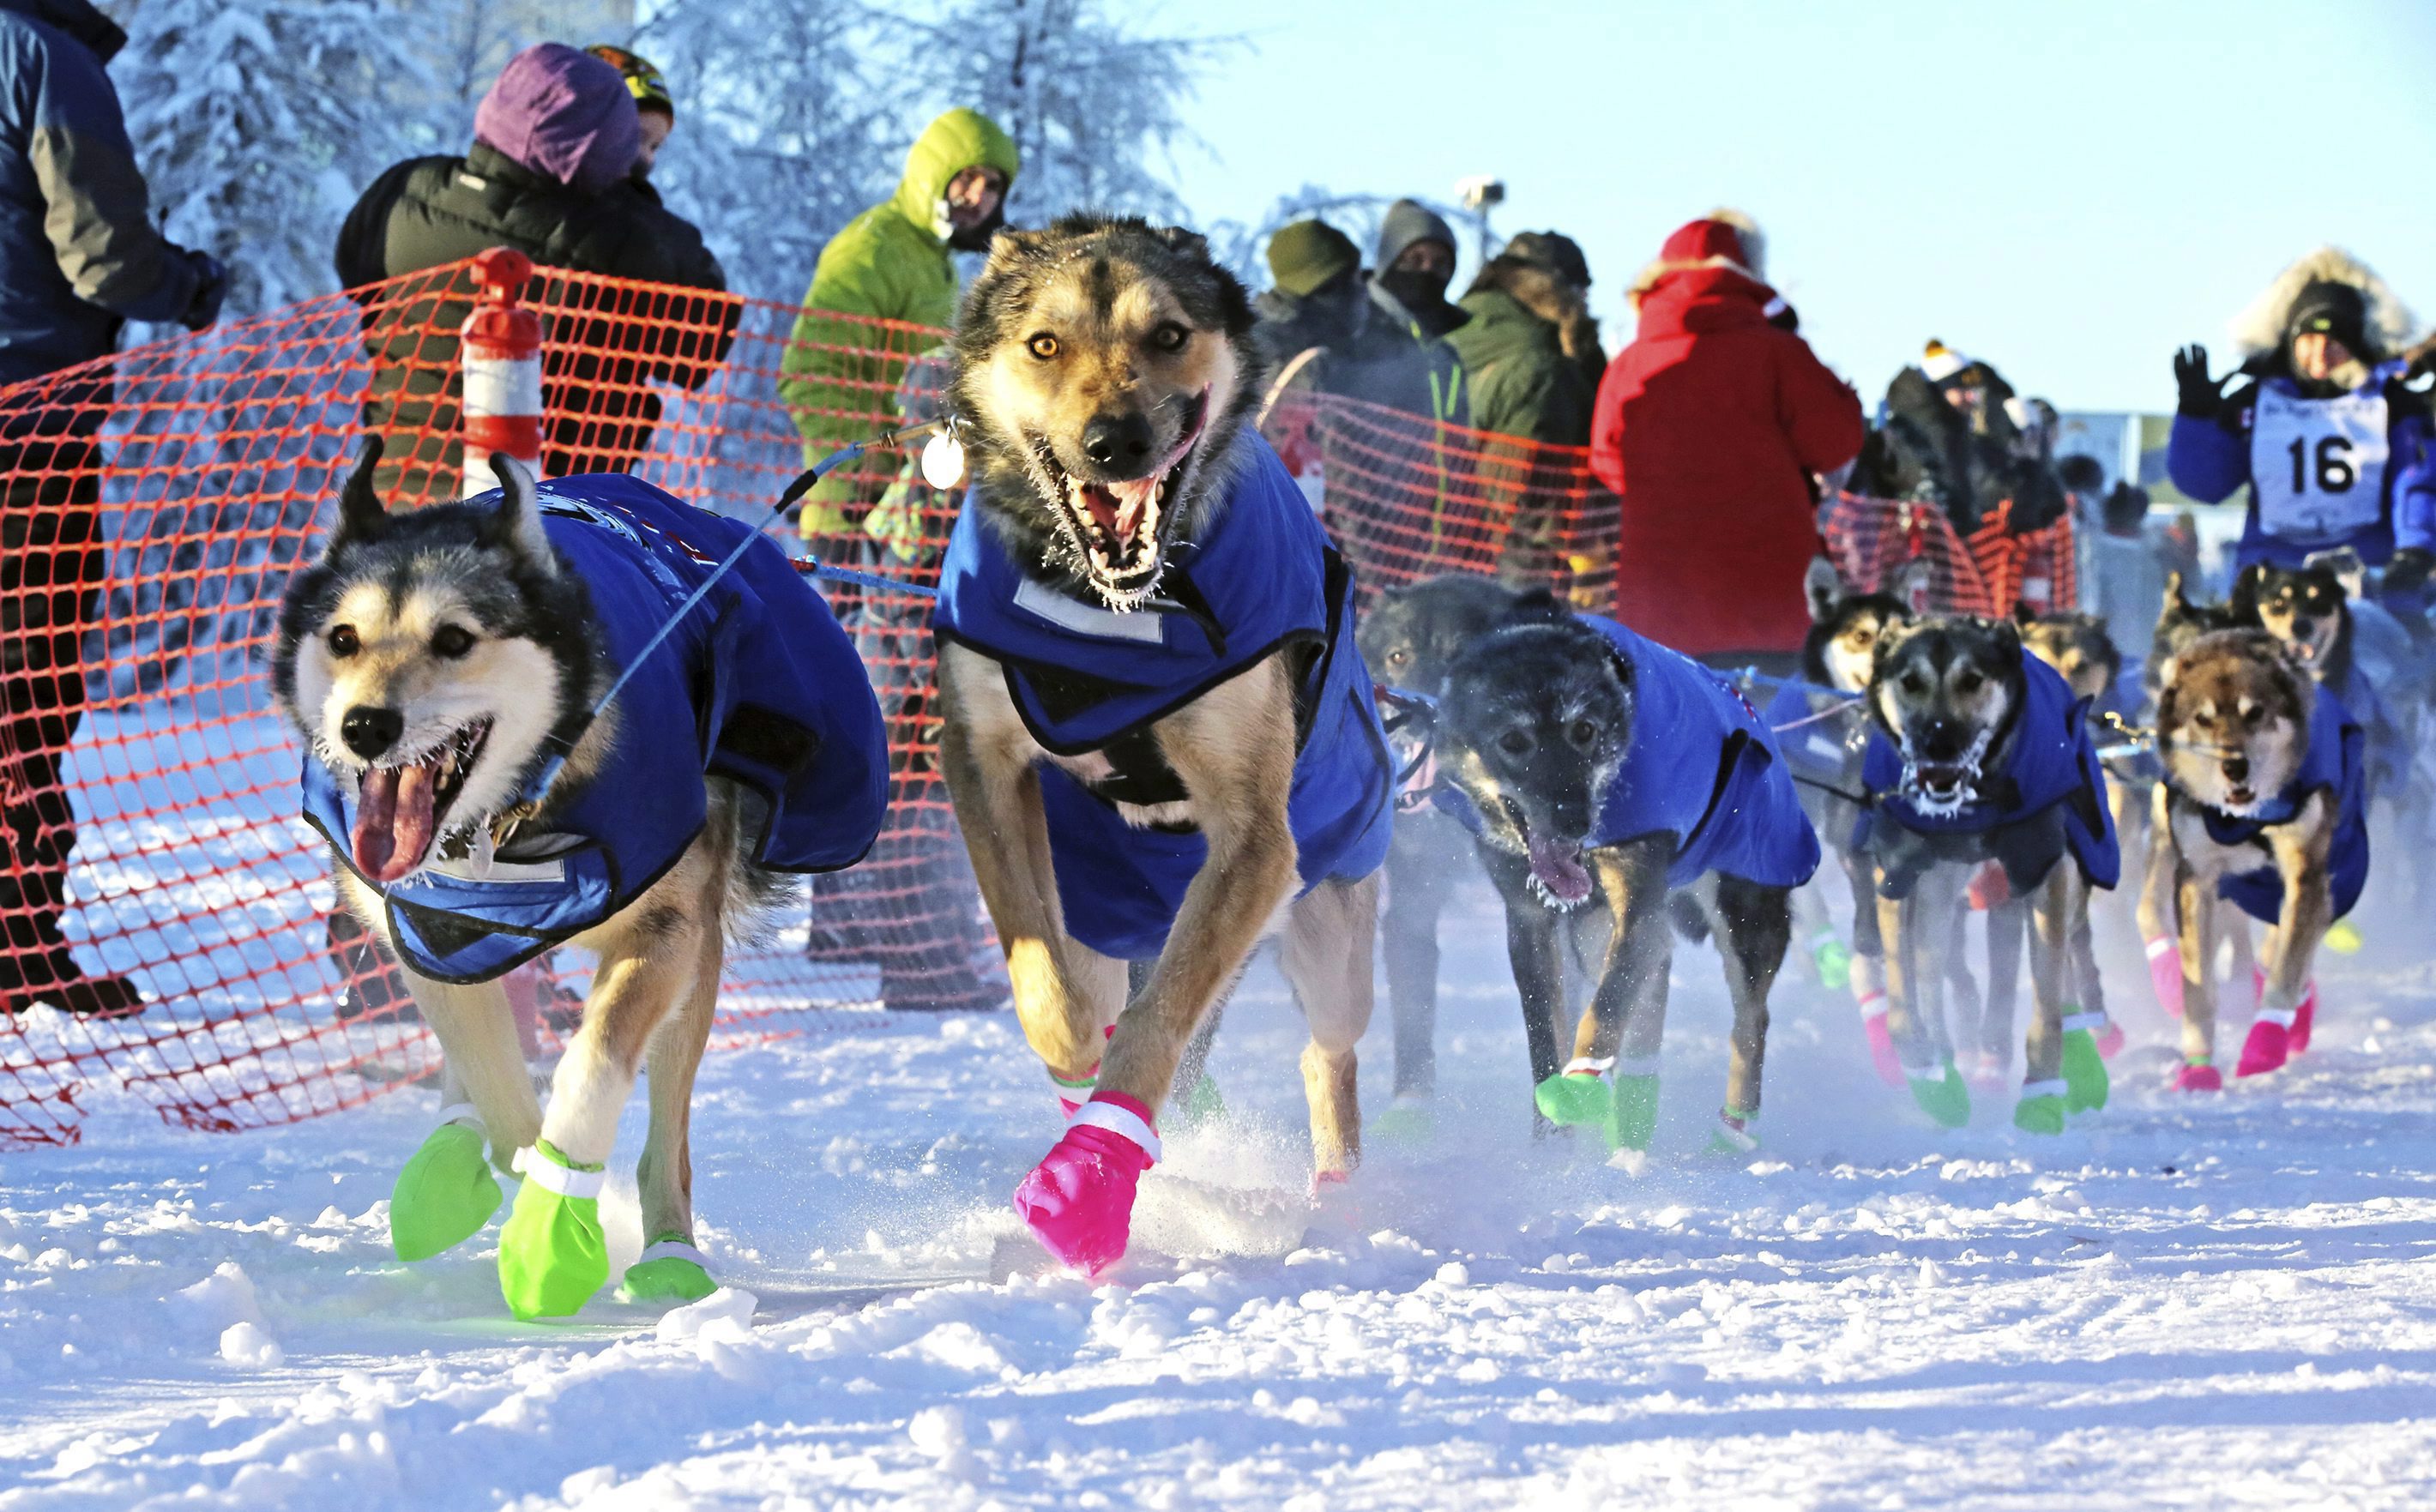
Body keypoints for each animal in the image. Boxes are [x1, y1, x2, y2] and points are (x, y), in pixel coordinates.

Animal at [926, 215, 1393, 1275]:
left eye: (1169, 334)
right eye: (1044, 344)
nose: (1115, 442)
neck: (1105, 610)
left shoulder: (1255, 837)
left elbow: (1158, 1023)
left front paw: (1091, 1176)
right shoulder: (982, 767)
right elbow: (1049, 996)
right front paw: (1081, 1082)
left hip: (1330, 929)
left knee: (1326, 1049)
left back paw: (1340, 1196)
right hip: (1104, 912)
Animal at [2144, 623, 2367, 1086]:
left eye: (2255, 713)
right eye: (2203, 719)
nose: (2234, 767)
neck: (2246, 820)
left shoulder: (2304, 872)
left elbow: (2285, 972)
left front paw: (2265, 1045)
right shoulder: (2197, 877)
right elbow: (2198, 988)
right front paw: (2199, 1067)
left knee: (2290, 949)